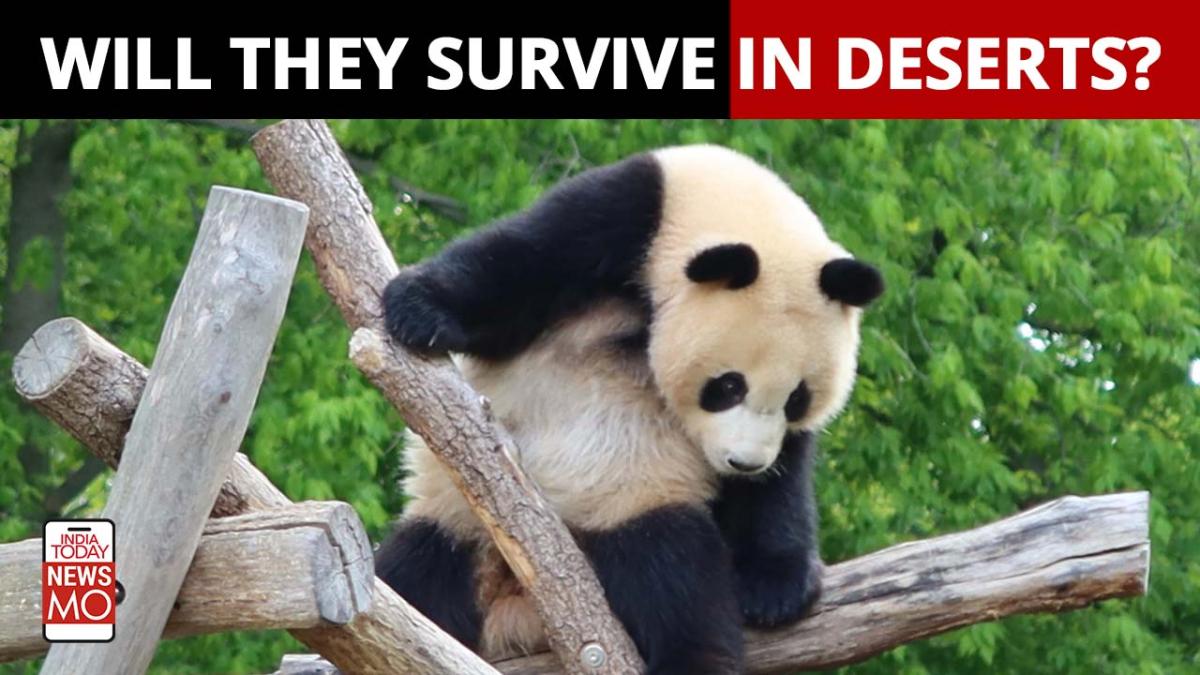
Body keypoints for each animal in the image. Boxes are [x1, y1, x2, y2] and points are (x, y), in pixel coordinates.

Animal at [375, 144, 884, 674]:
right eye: (728, 386)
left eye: (797, 399)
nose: (743, 462)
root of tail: (517, 613)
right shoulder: (624, 211)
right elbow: (517, 267)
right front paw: (417, 307)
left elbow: (778, 483)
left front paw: (775, 589)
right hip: (458, 519)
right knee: (415, 570)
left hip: (632, 501)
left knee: (675, 577)